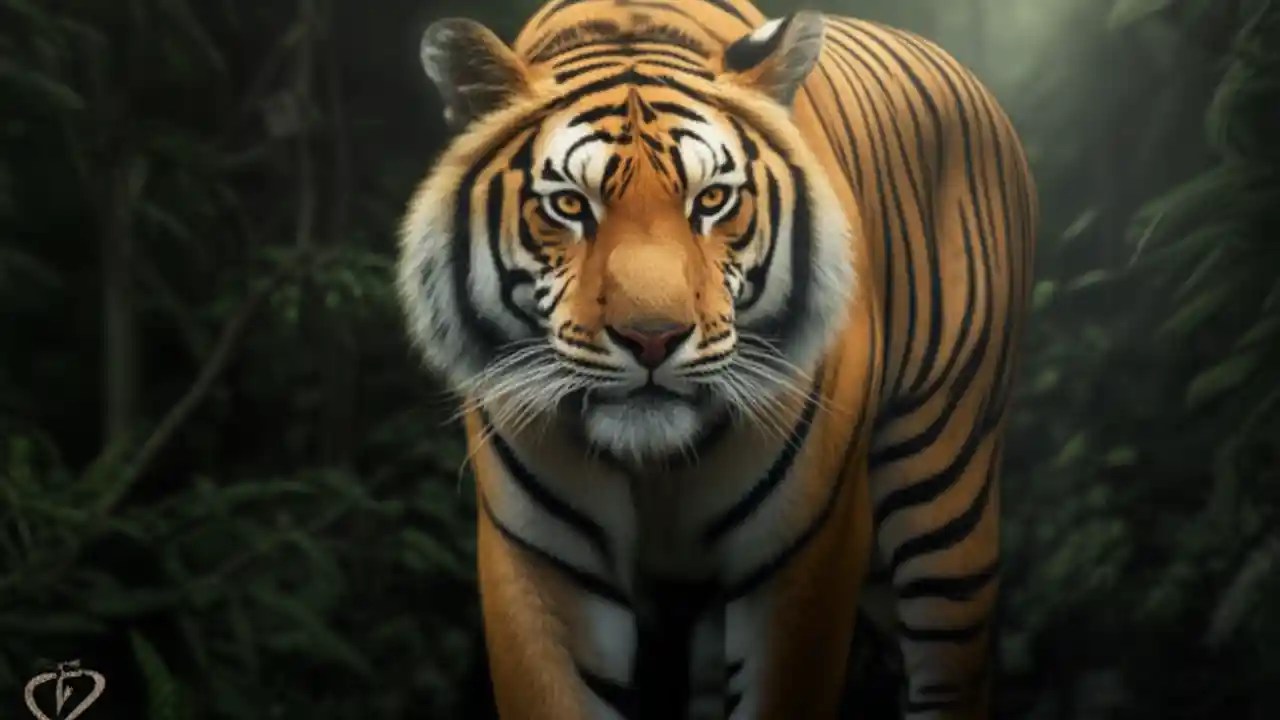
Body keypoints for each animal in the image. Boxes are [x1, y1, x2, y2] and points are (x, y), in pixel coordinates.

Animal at [396, 0, 1036, 718]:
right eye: (568, 205)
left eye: (711, 200)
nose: (652, 338)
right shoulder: (540, 564)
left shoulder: (805, 551)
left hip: (946, 502)